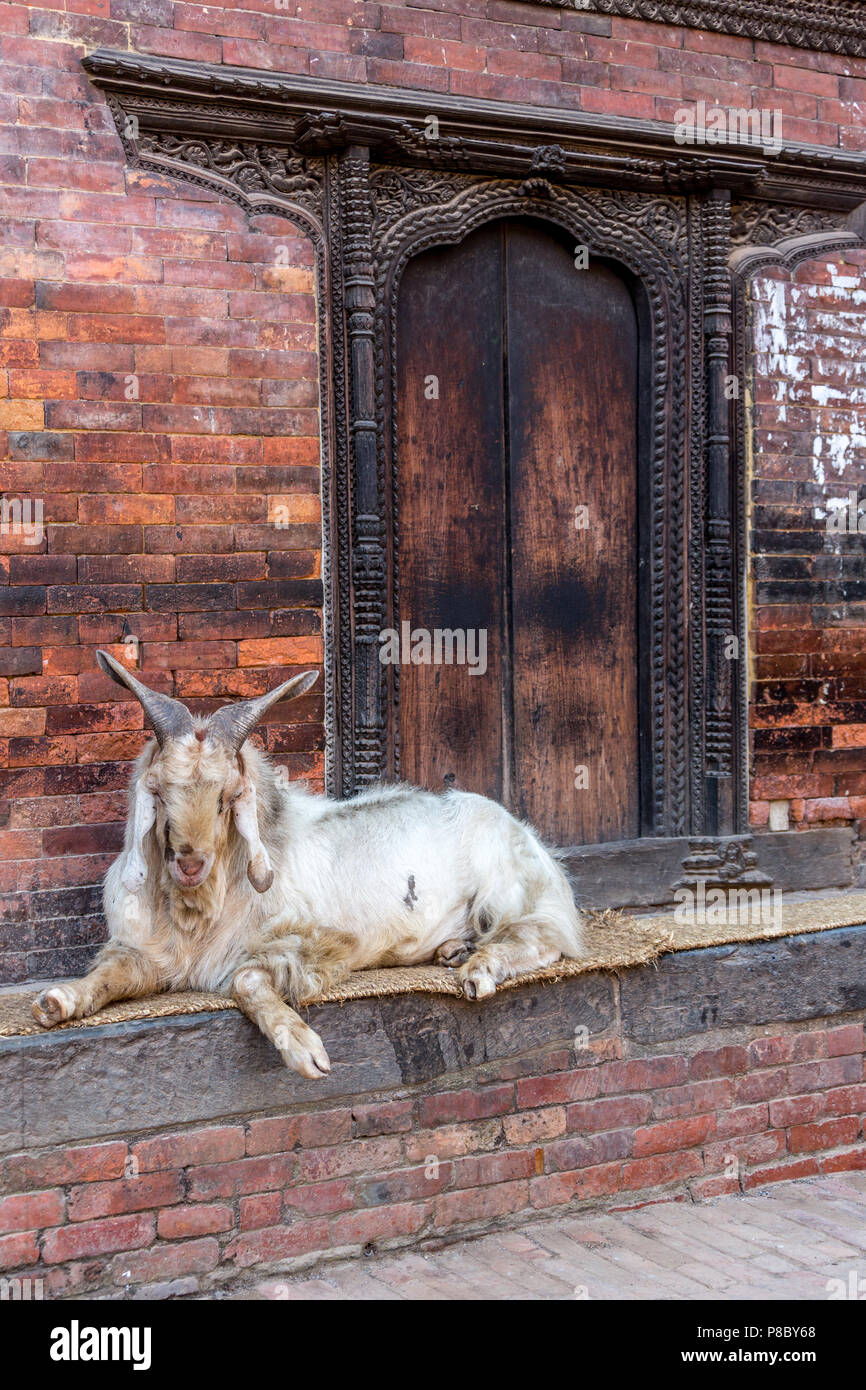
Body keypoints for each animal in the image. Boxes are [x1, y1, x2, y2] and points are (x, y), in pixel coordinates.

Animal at [33, 647, 589, 1073]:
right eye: (160, 793)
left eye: (228, 798)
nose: (189, 864)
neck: (199, 913)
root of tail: (524, 830)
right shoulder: (149, 954)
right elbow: (110, 975)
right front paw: (56, 1002)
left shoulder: (323, 943)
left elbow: (246, 979)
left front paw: (305, 1051)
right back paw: (453, 950)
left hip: (511, 894)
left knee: (543, 937)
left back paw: (478, 969)